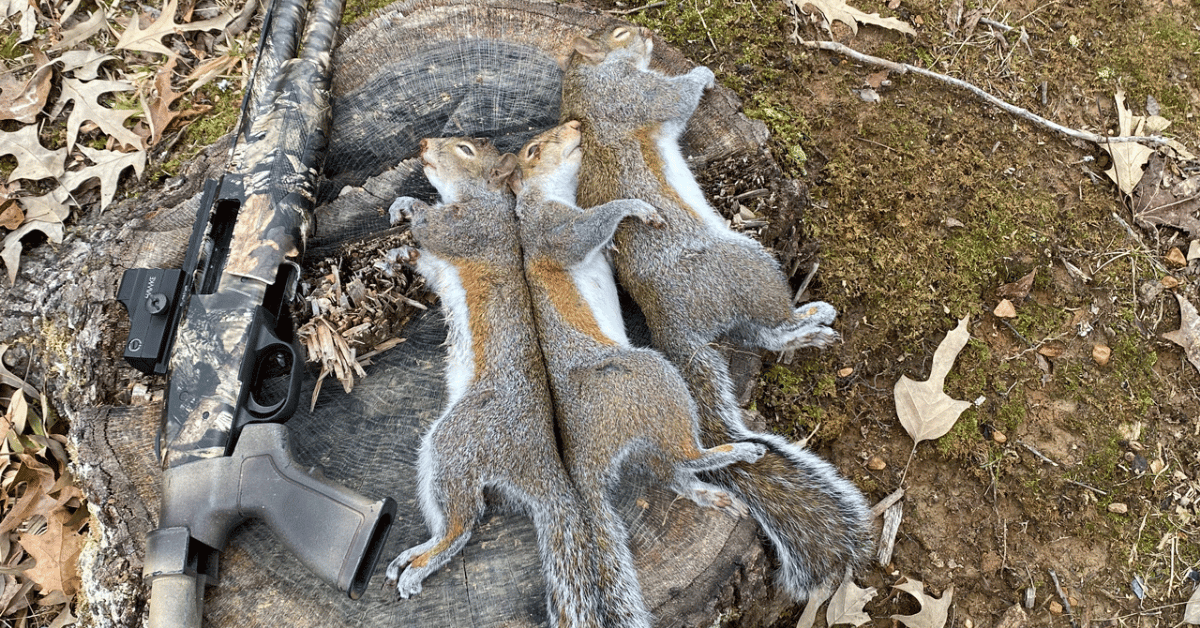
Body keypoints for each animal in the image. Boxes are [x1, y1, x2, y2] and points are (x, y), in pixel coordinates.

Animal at [383, 136, 606, 628]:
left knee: (463, 525)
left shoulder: (472, 231)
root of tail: (538, 459)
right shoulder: (441, 262)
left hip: (456, 441)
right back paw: (413, 555)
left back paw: (419, 568)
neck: (482, 200)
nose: (422, 144)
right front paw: (399, 247)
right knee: (459, 521)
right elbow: (425, 261)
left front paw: (408, 205)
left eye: (465, 149)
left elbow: (436, 226)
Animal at [509, 120, 768, 628]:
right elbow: (588, 227)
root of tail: (584, 459)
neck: (549, 196)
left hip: (645, 436)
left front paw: (614, 240)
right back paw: (735, 451)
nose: (575, 125)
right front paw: (633, 208)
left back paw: (707, 492)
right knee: (685, 455)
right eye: (533, 150)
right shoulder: (552, 231)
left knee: (671, 470)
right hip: (655, 382)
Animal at [559, 25, 873, 599]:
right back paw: (809, 320)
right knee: (772, 327)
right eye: (618, 33)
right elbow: (676, 97)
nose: (645, 32)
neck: (587, 88)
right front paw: (701, 74)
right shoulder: (632, 97)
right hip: (752, 267)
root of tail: (676, 330)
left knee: (761, 338)